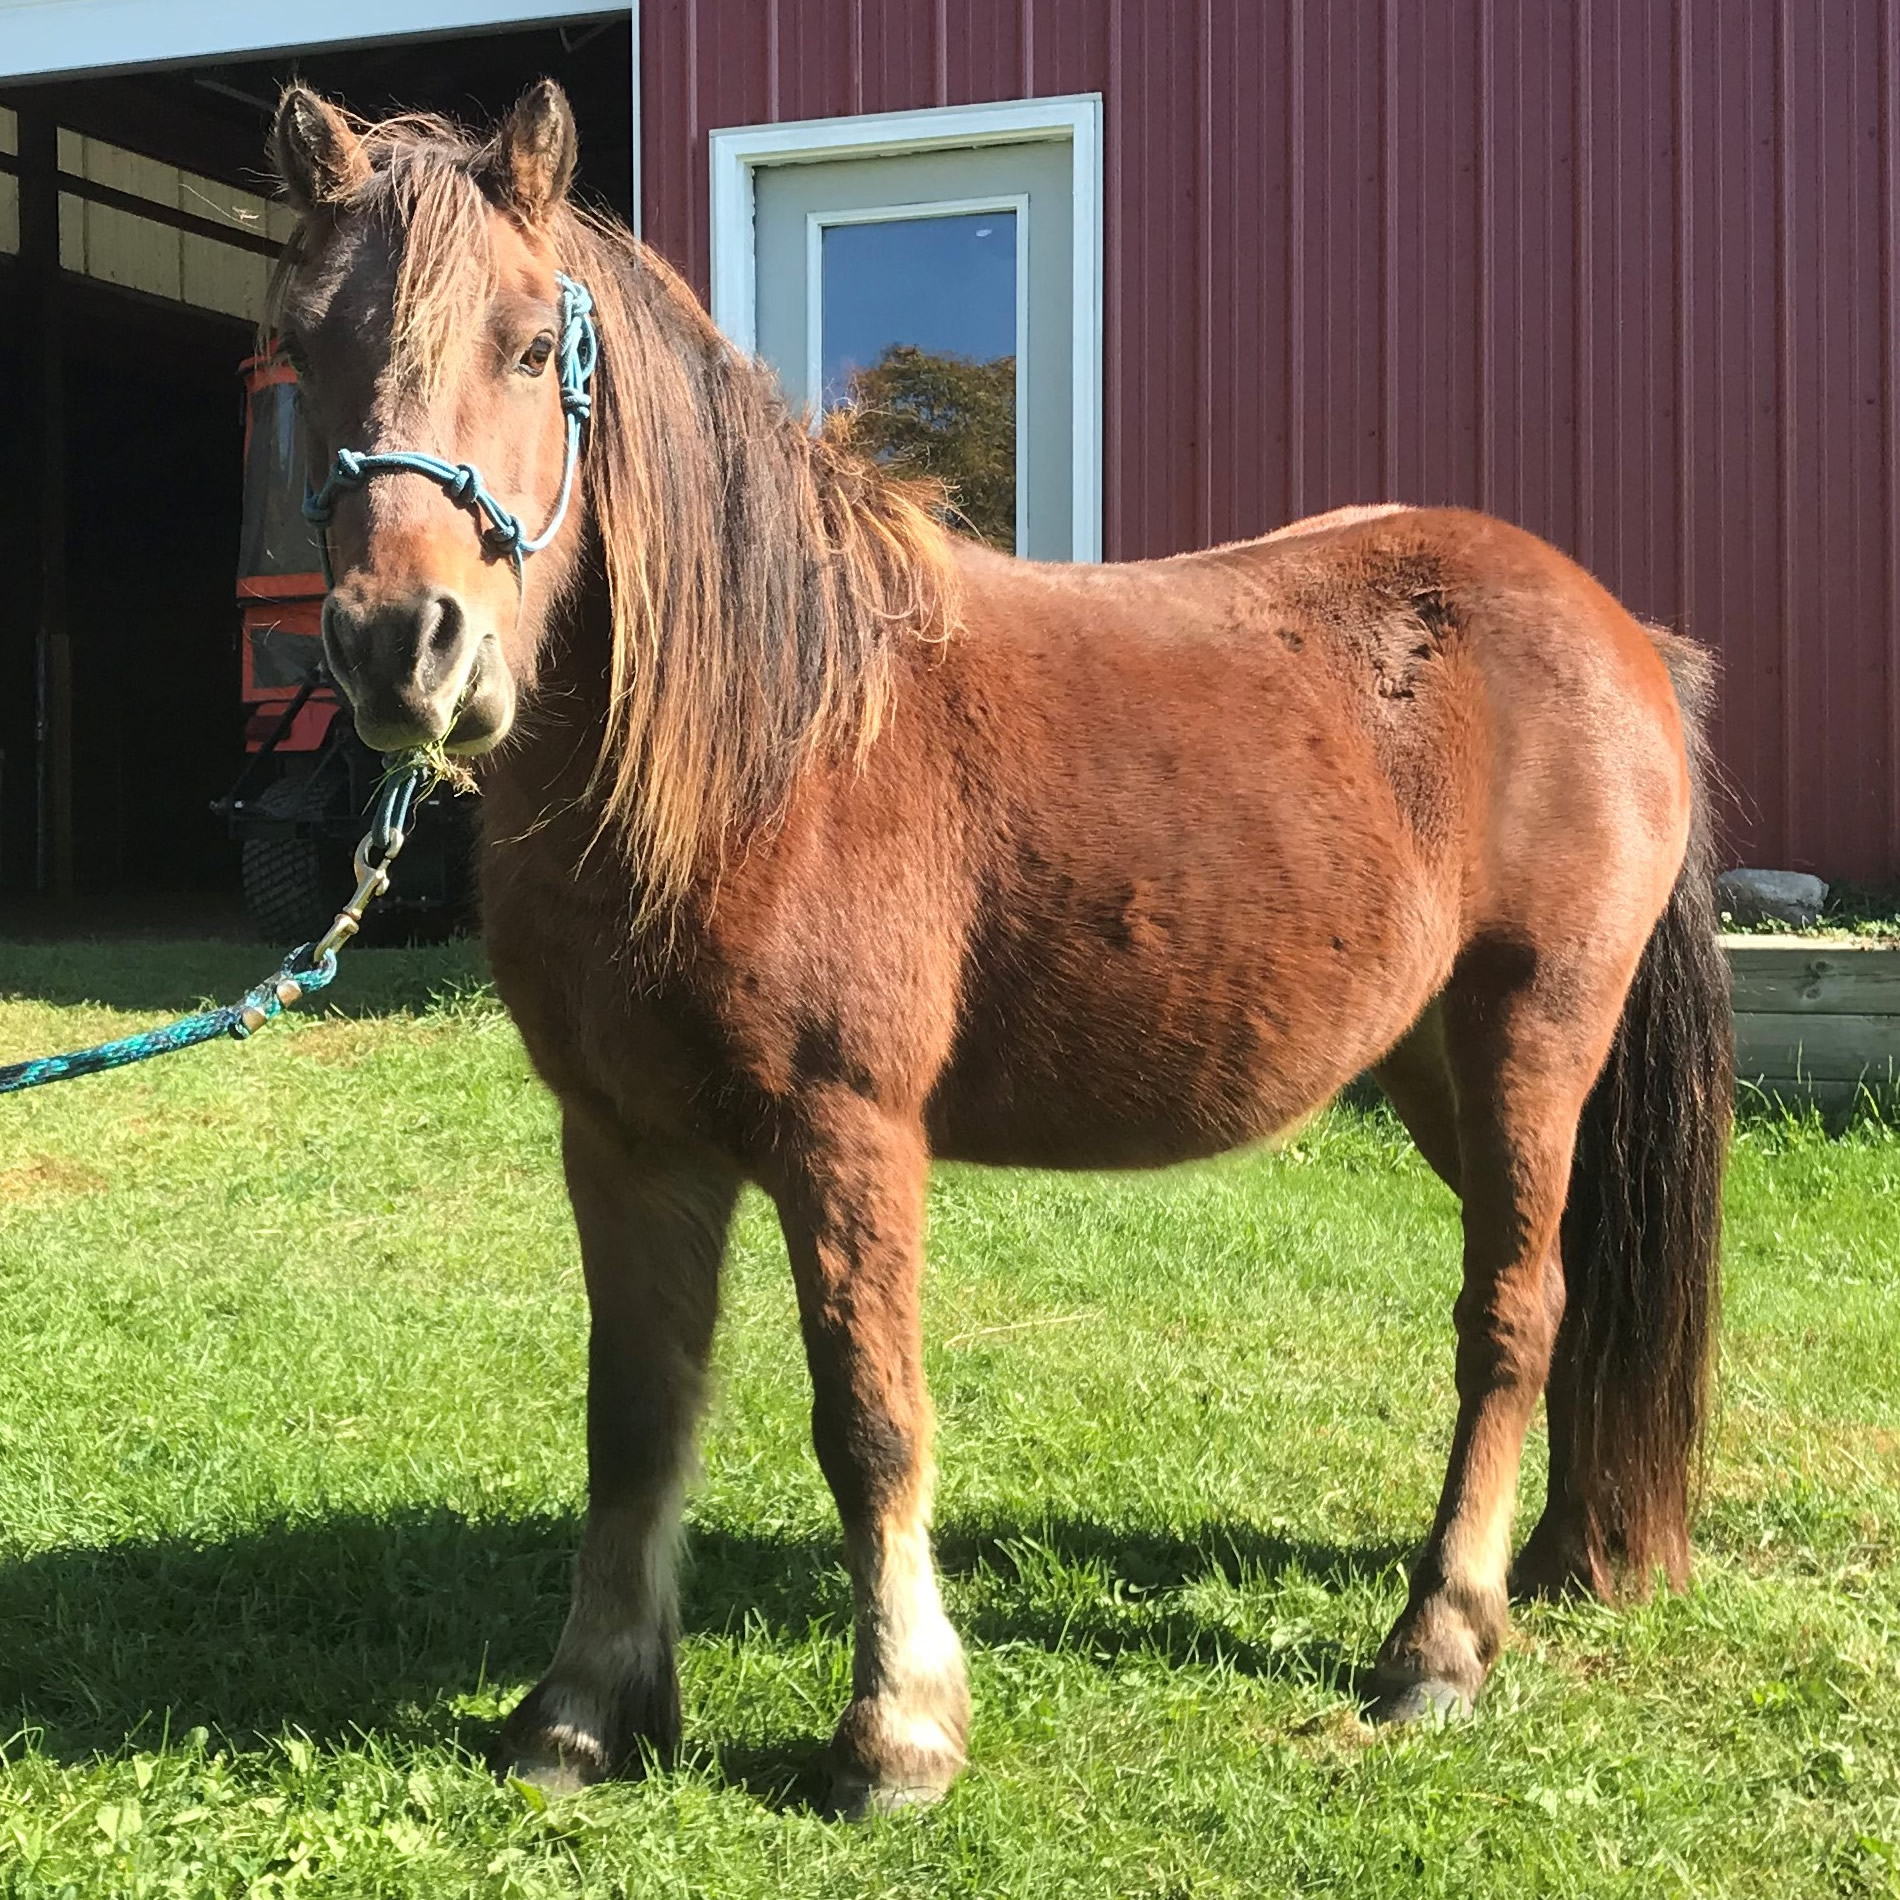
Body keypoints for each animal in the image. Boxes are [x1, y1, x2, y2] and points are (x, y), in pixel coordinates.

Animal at [266, 81, 1732, 1816]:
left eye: (516, 345)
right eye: (303, 347)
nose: (400, 649)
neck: (761, 753)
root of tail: (1621, 636)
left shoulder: (847, 1136)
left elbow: (870, 1422)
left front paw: (897, 1730)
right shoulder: (624, 1143)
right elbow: (634, 1421)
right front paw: (581, 1710)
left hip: (1532, 1036)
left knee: (1510, 1316)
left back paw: (1437, 1643)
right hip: (1439, 1065)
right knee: (1561, 1295)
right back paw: (1553, 1565)